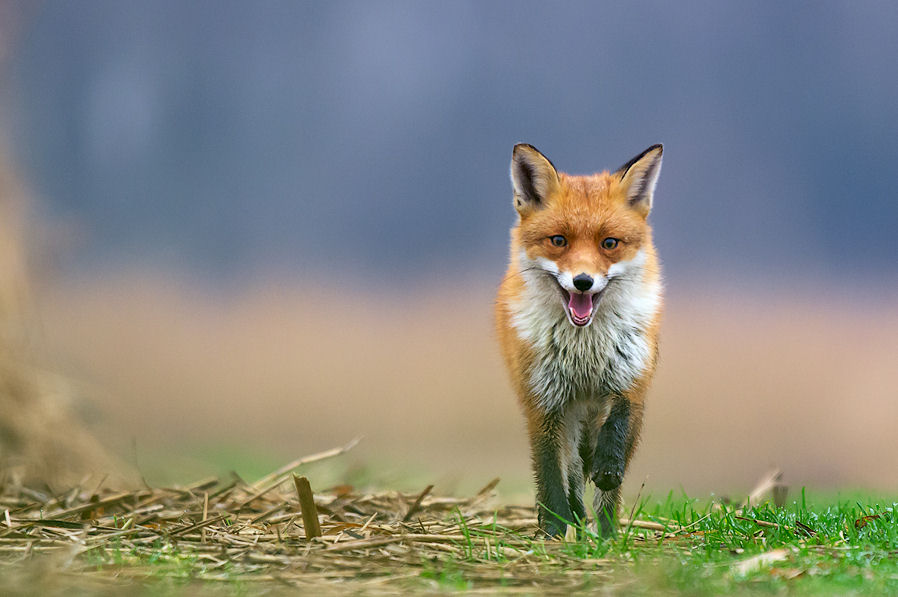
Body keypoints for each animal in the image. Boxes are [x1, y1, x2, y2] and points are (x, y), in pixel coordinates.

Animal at [495, 143, 664, 538]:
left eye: (609, 243)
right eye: (559, 241)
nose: (583, 282)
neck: (583, 352)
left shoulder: (630, 378)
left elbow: (617, 429)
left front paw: (605, 519)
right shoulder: (542, 399)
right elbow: (550, 472)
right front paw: (555, 528)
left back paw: (605, 531)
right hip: (567, 414)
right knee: (570, 469)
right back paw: (573, 517)